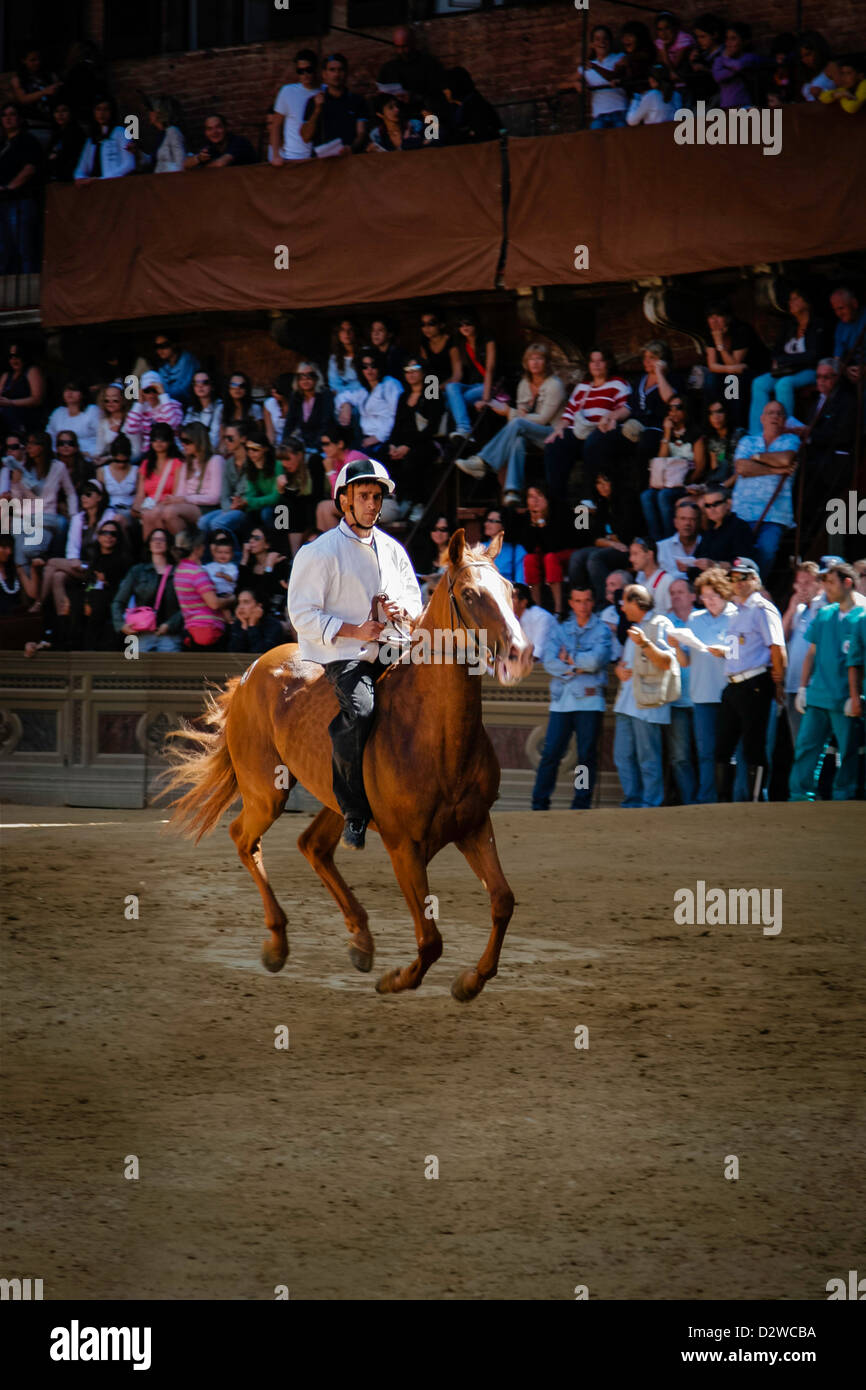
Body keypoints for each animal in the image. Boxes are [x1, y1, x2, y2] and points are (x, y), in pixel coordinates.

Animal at [161, 528, 534, 1000]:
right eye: (470, 593)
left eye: (508, 590)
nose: (520, 653)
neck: (433, 734)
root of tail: (250, 674)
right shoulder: (403, 847)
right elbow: (430, 940)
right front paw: (397, 980)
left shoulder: (474, 826)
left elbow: (502, 901)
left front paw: (470, 982)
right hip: (267, 793)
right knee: (244, 838)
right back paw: (277, 944)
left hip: (336, 802)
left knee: (312, 845)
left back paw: (361, 939)